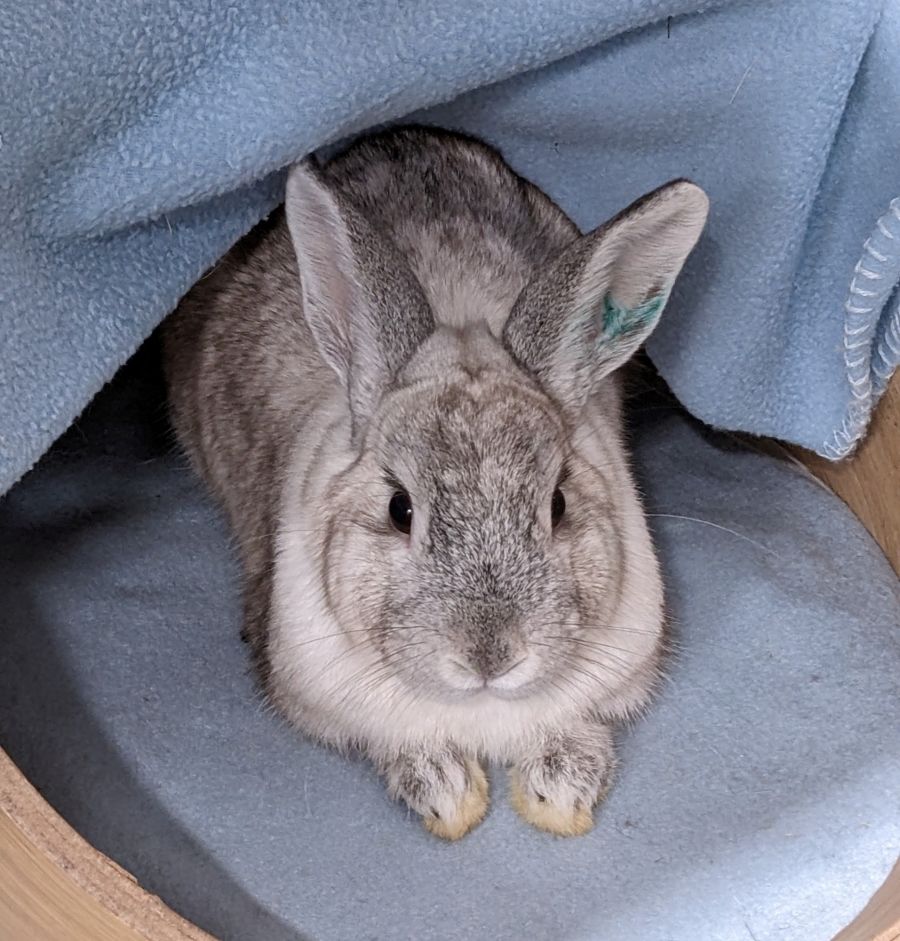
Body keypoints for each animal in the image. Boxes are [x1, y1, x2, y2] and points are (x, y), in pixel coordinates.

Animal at [163, 125, 708, 840]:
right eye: (400, 509)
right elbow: (406, 747)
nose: (490, 657)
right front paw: (450, 800)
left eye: (558, 504)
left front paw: (561, 796)